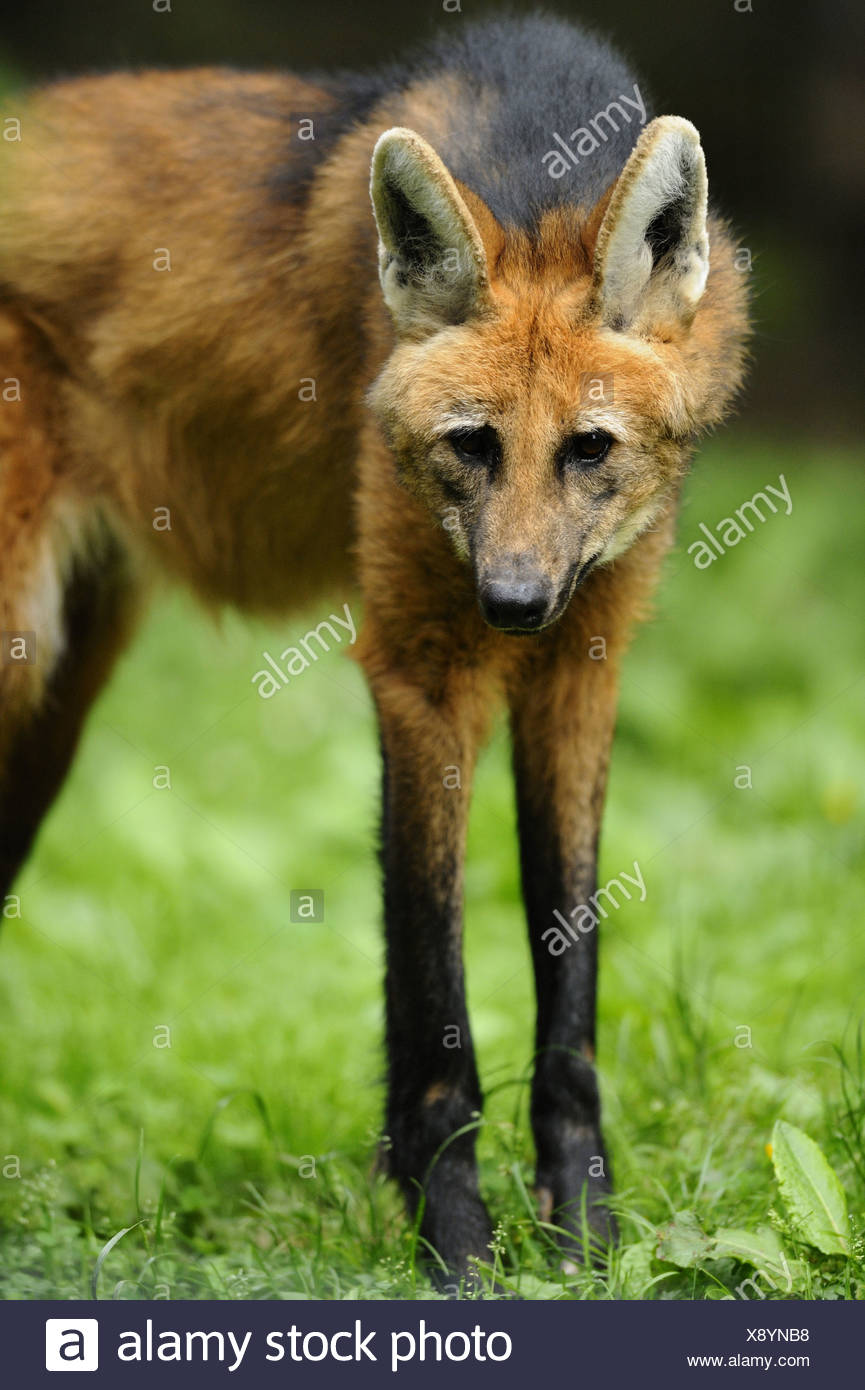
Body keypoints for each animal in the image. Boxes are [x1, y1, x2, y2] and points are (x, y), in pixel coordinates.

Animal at [0, 14, 748, 1281]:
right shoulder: (421, 671)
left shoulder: (580, 664)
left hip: (54, 698)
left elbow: (569, 975)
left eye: (588, 449)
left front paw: (582, 1234)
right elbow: (434, 993)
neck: (535, 151)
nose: (511, 601)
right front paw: (452, 1241)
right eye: (472, 444)